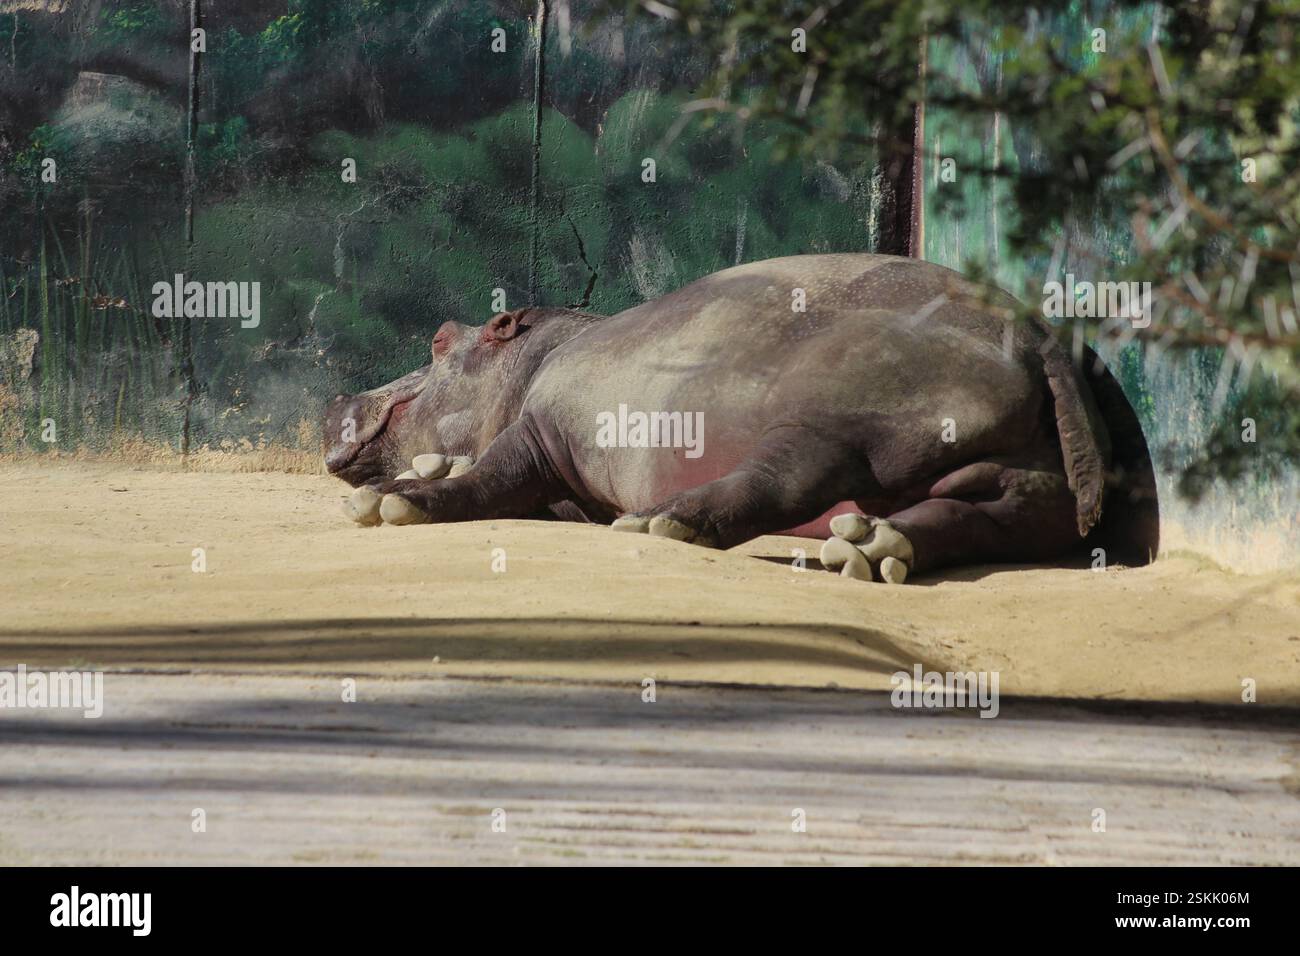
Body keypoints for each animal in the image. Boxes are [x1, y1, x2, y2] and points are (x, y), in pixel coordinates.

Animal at [323, 254, 1159, 582]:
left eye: (439, 339)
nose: (337, 398)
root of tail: (1039, 334)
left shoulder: (542, 426)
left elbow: (495, 473)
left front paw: (393, 503)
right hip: (1025, 477)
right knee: (983, 513)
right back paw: (866, 550)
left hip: (829, 414)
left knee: (782, 480)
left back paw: (665, 522)